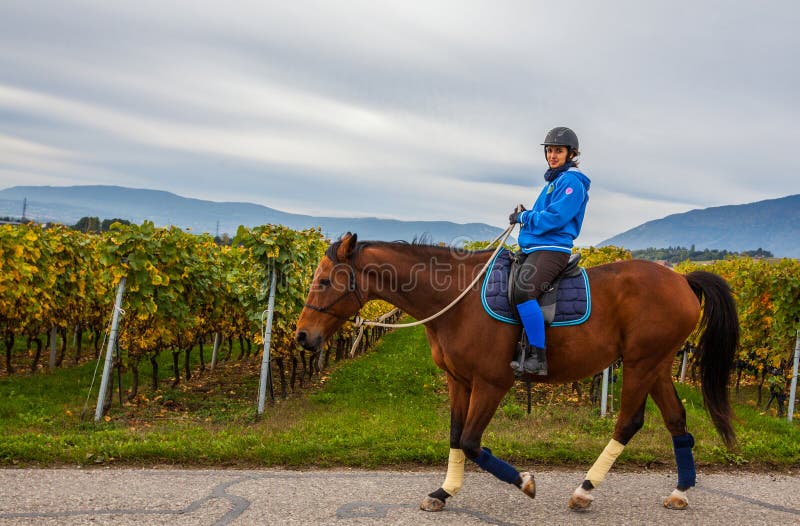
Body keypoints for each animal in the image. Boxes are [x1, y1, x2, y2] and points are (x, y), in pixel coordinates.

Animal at [295, 232, 739, 512]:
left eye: (324, 280)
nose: (302, 336)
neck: (455, 298)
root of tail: (681, 279)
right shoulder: (459, 381)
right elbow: (456, 436)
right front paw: (444, 491)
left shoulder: (492, 383)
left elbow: (472, 442)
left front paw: (524, 481)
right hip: (657, 364)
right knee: (676, 419)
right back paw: (681, 491)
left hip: (641, 364)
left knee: (628, 422)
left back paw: (585, 490)